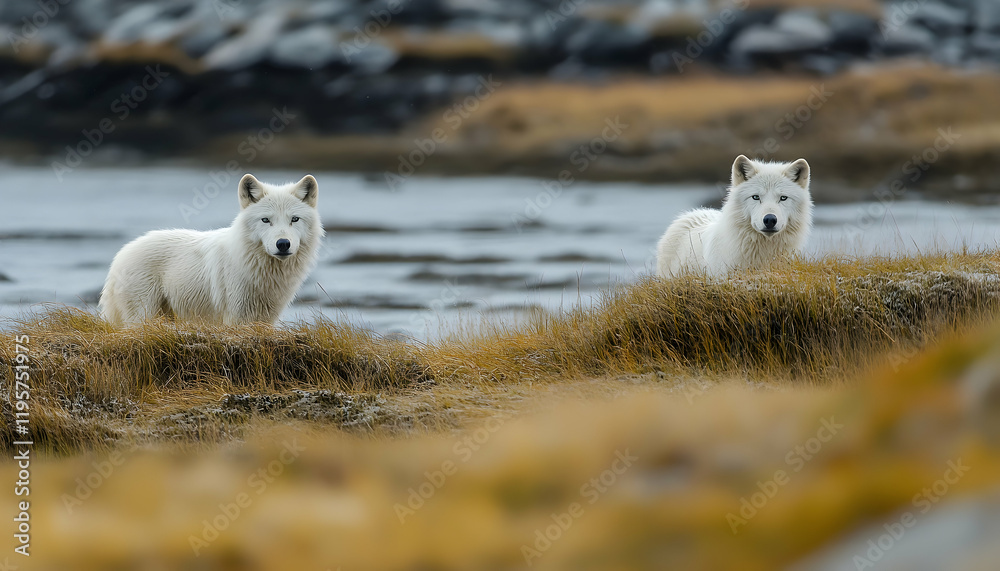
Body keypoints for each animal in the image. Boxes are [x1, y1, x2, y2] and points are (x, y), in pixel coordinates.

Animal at [99, 174, 324, 325]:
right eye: (266, 220)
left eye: (294, 219)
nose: (283, 243)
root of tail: (120, 255)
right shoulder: (236, 318)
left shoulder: (265, 319)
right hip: (143, 315)